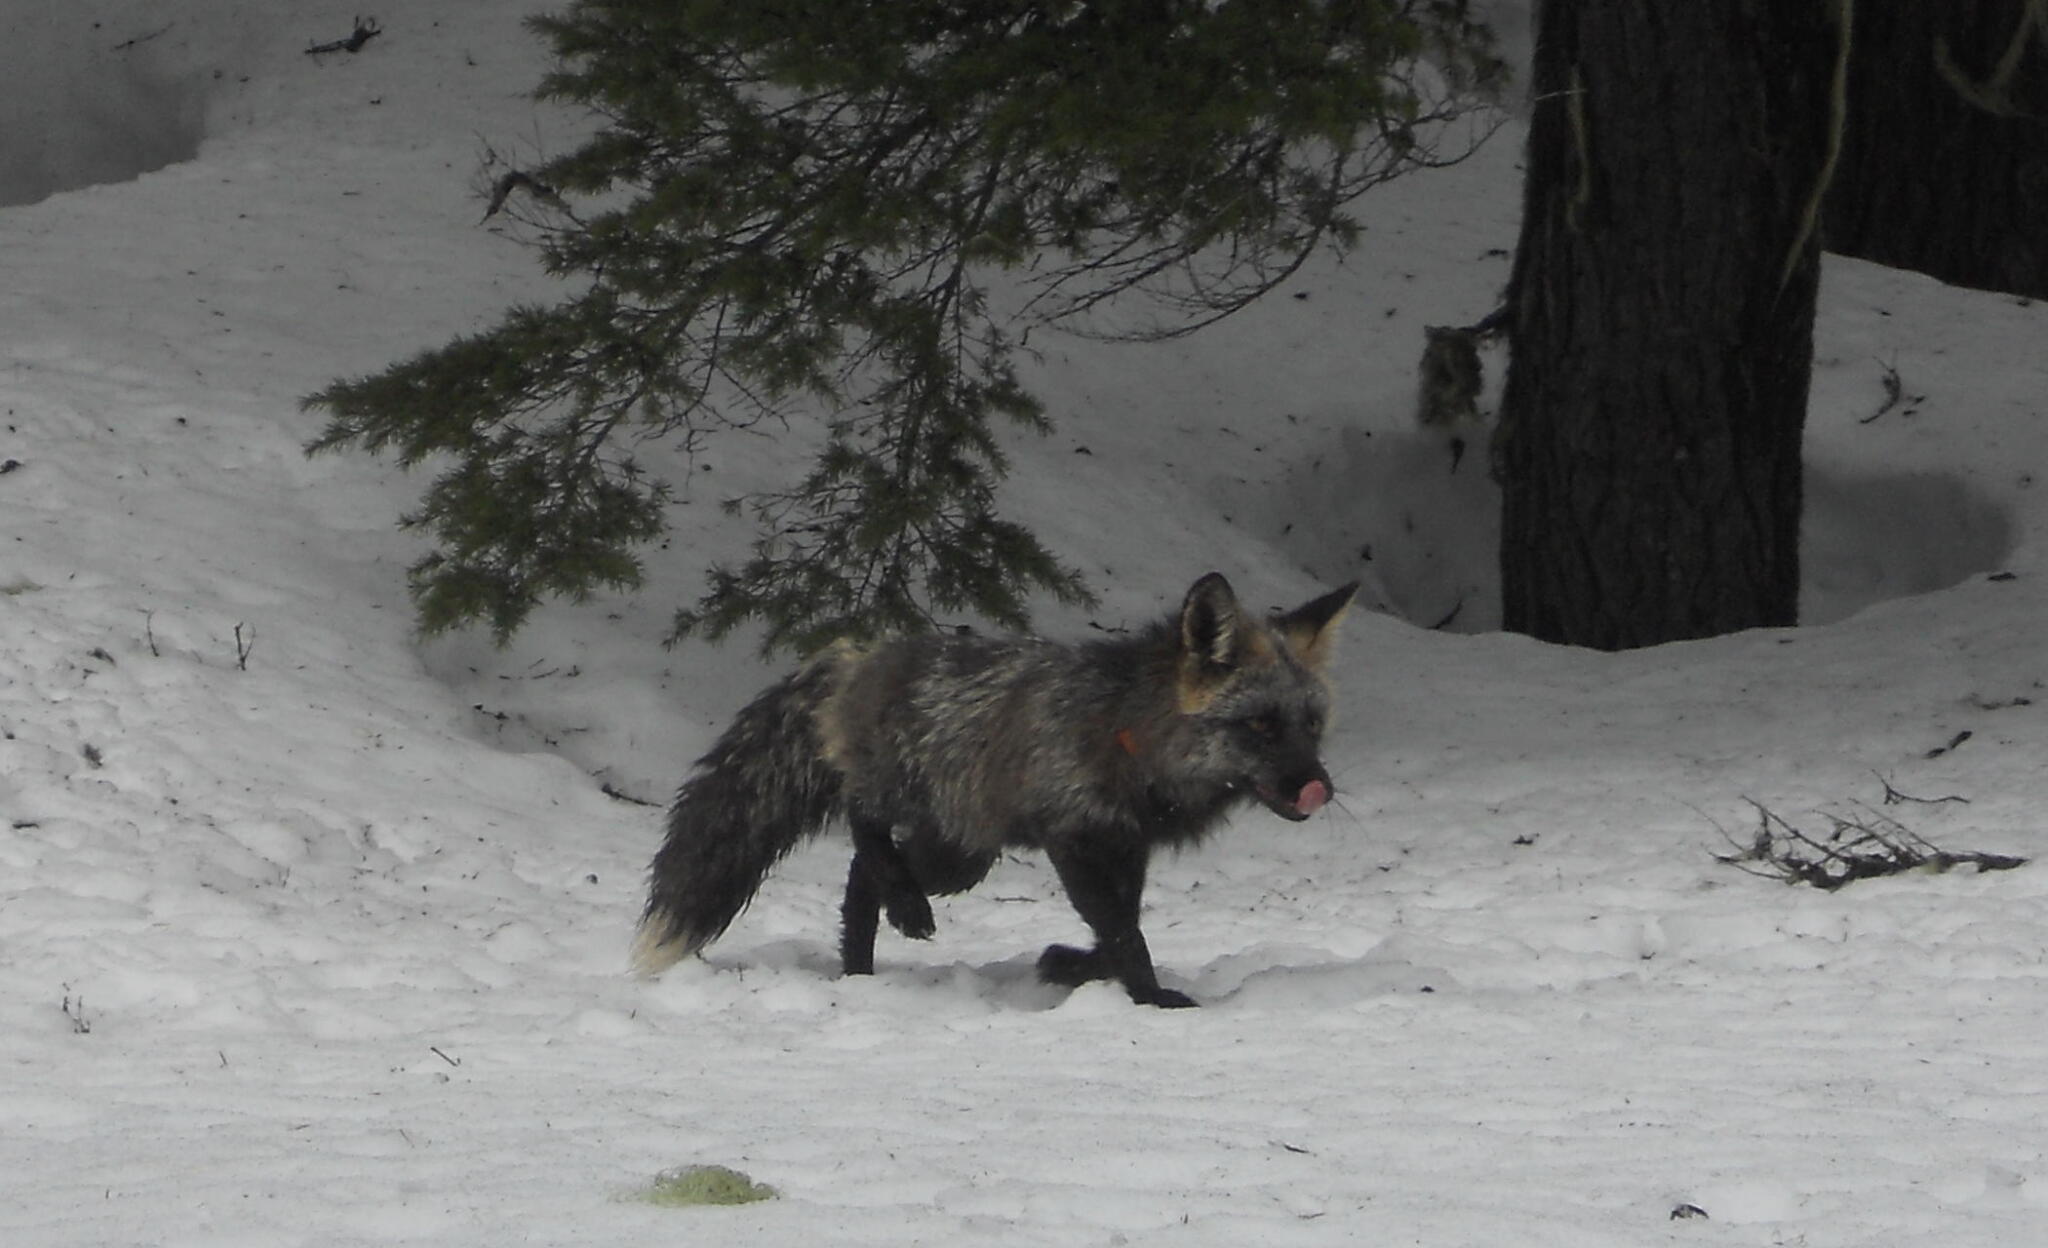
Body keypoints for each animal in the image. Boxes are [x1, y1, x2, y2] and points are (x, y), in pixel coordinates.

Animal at [631, 572, 1358, 1007]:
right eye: (1260, 725)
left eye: (1311, 725)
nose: (1318, 788)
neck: (1130, 738)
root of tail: (857, 652)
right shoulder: (1075, 836)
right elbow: (1124, 932)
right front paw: (1150, 998)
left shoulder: (1128, 846)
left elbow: (1116, 929)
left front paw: (1068, 965)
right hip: (932, 821)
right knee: (864, 828)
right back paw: (900, 913)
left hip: (961, 851)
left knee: (860, 881)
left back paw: (861, 968)